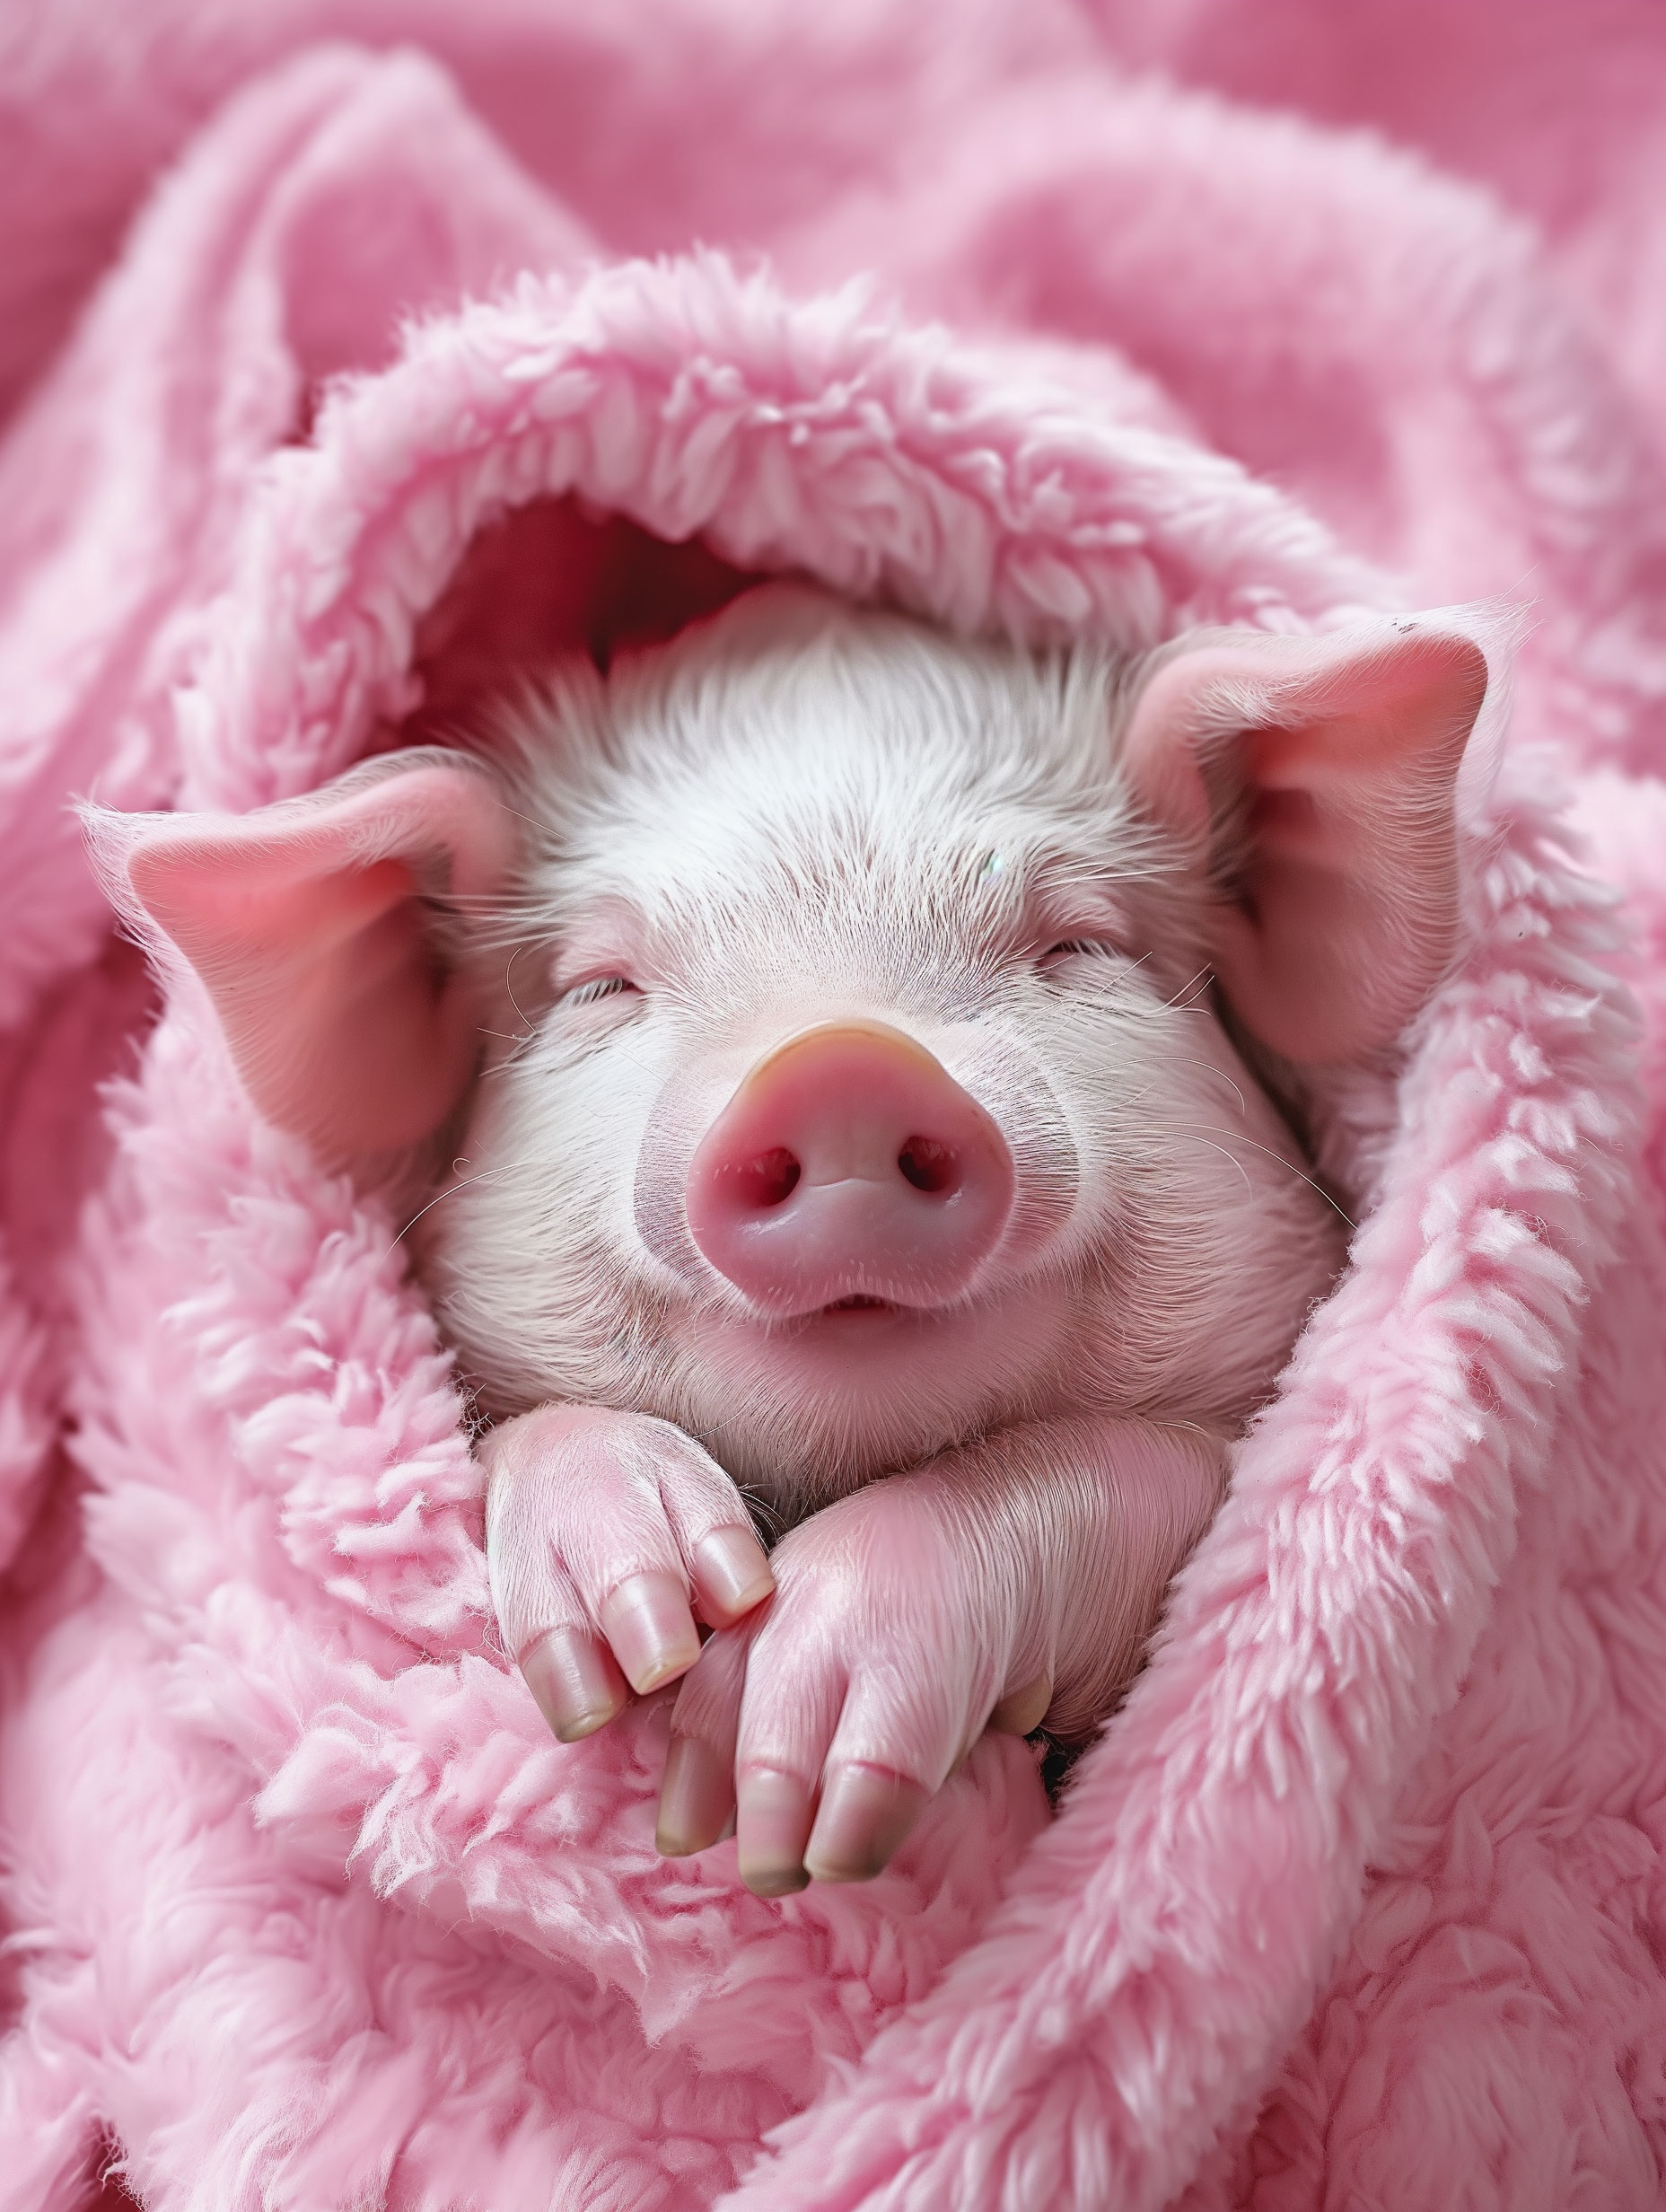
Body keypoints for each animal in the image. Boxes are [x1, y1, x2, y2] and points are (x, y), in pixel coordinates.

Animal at [99, 583, 1488, 1897]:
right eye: (598, 986)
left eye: (1081, 944)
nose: (841, 1064)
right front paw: (647, 1625)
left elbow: (1155, 1486)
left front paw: (754, 1783)